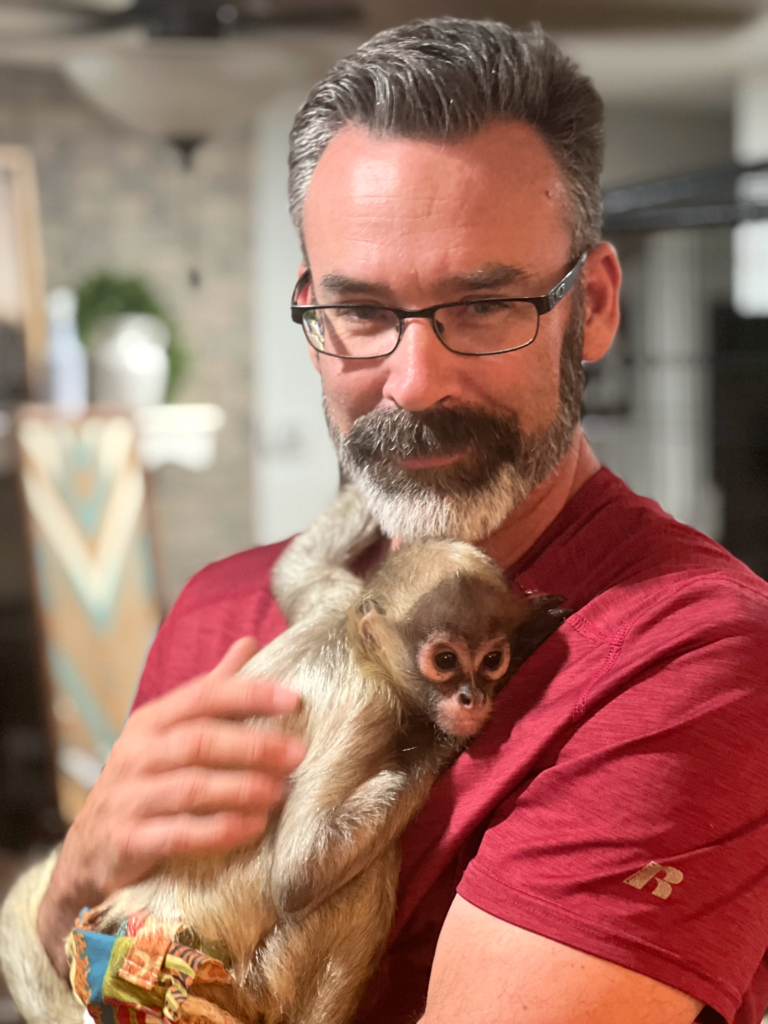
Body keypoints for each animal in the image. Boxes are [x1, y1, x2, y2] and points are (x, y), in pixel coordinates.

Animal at [74, 486, 567, 1024]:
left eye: (491, 660)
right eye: (445, 660)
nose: (471, 698)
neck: (351, 642)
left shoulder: (334, 599)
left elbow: (296, 564)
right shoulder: (369, 703)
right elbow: (298, 873)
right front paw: (444, 729)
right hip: (248, 979)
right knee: (366, 871)